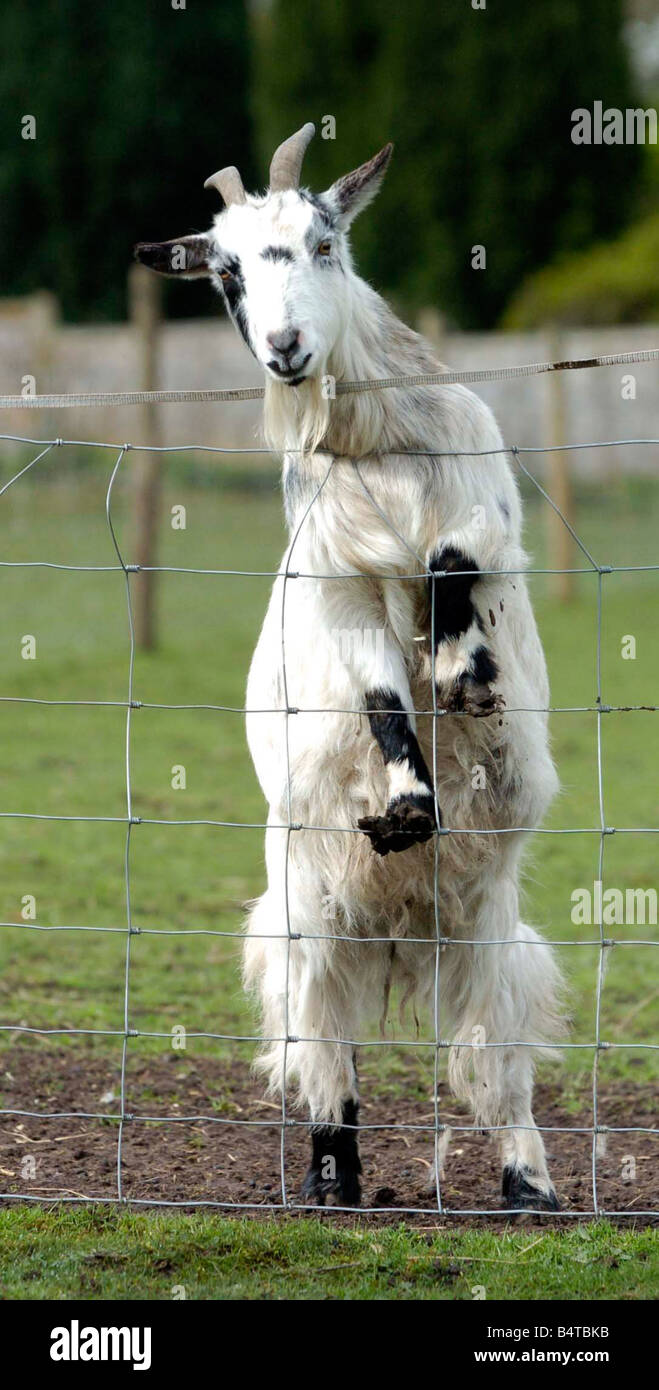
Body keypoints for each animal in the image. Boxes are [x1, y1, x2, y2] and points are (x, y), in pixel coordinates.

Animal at [136, 123, 566, 1211]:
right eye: (227, 273)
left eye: (323, 243)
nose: (288, 349)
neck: (378, 448)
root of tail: (400, 929)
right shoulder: (337, 584)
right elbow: (377, 688)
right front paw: (407, 802)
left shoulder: (485, 515)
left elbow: (453, 563)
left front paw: (466, 674)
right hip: (309, 911)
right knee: (326, 1047)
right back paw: (331, 1177)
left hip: (487, 924)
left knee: (494, 1055)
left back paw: (528, 1183)